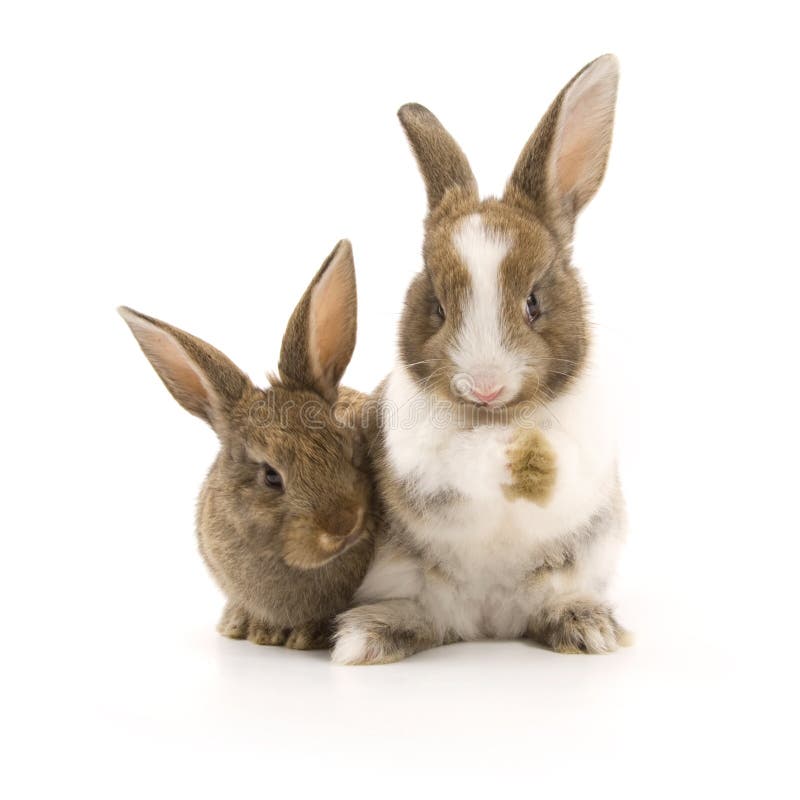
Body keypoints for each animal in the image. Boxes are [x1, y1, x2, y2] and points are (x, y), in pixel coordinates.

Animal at [332, 55, 630, 664]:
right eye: (438, 308)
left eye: (534, 302)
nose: (485, 386)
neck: (498, 417)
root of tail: (488, 621)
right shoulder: (418, 457)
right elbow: (458, 462)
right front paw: (506, 453)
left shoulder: (589, 451)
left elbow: (563, 464)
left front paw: (534, 457)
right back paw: (367, 636)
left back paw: (587, 626)